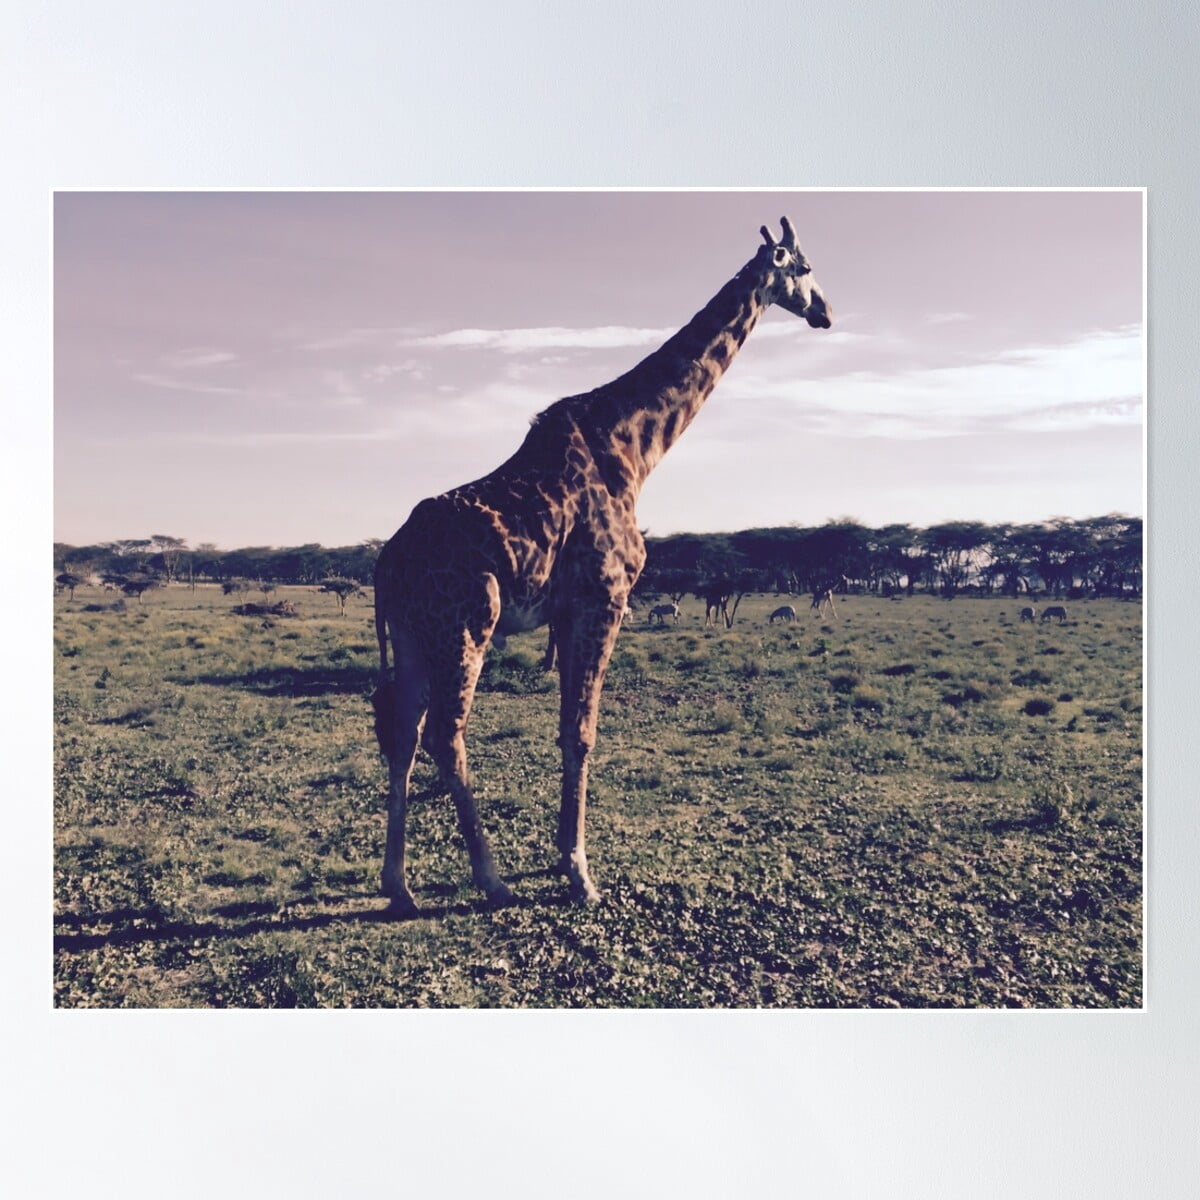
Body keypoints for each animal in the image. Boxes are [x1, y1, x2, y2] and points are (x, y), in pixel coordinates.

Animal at [372, 216, 832, 915]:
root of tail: (385, 562)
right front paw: (579, 873)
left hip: (412, 633)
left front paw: (566, 861)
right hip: (467, 625)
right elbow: (582, 732)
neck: (634, 448)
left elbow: (568, 728)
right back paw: (490, 879)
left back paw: (398, 887)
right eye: (803, 267)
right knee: (445, 735)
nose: (826, 312)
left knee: (402, 730)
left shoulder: (570, 611)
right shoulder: (605, 598)